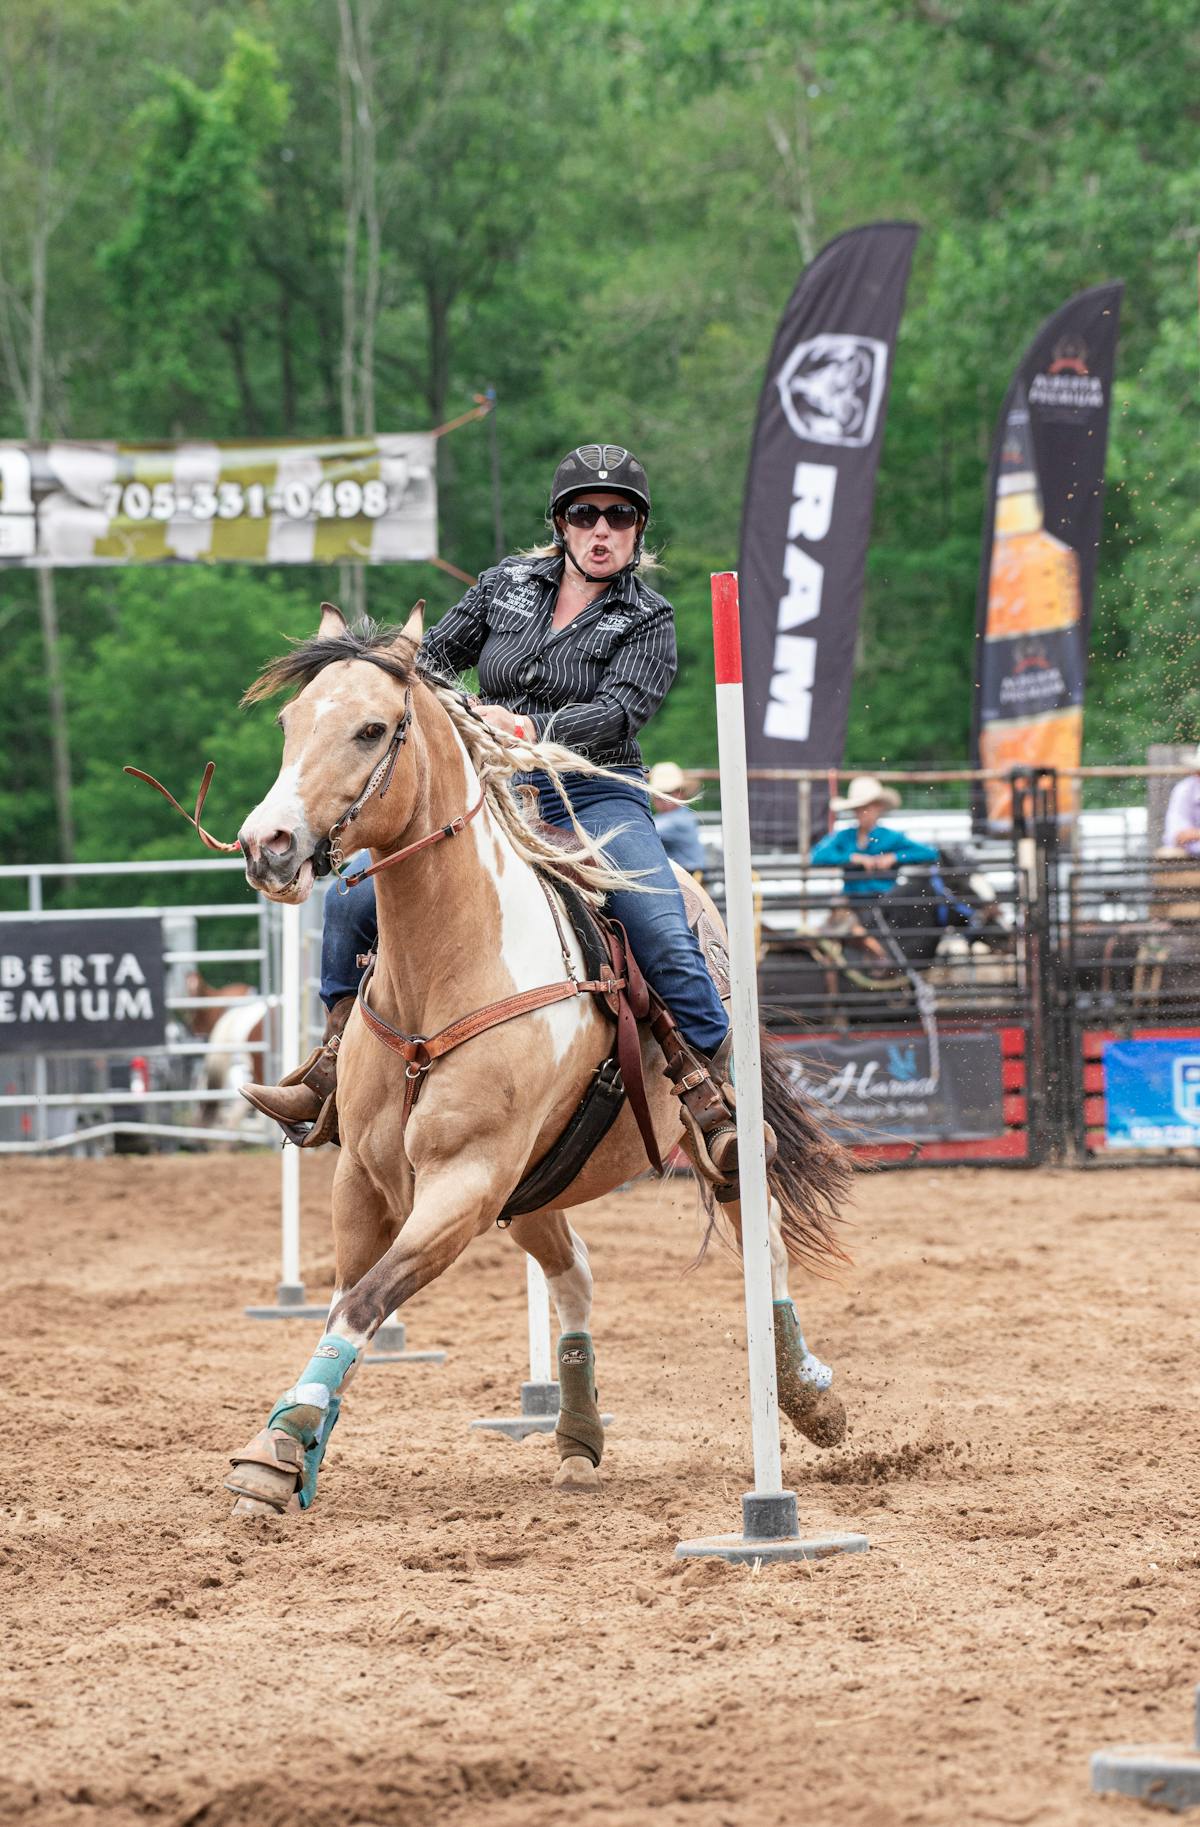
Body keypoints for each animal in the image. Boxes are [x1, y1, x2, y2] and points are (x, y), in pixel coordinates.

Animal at [212, 603, 854, 1517]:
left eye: (371, 728)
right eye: (291, 722)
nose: (266, 843)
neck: (448, 967)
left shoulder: (466, 1181)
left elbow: (365, 1301)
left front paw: (278, 1449)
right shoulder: (365, 1179)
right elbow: (345, 1301)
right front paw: (295, 1445)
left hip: (701, 1148)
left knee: (761, 1239)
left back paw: (805, 1393)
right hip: (536, 1188)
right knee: (575, 1272)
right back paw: (576, 1433)